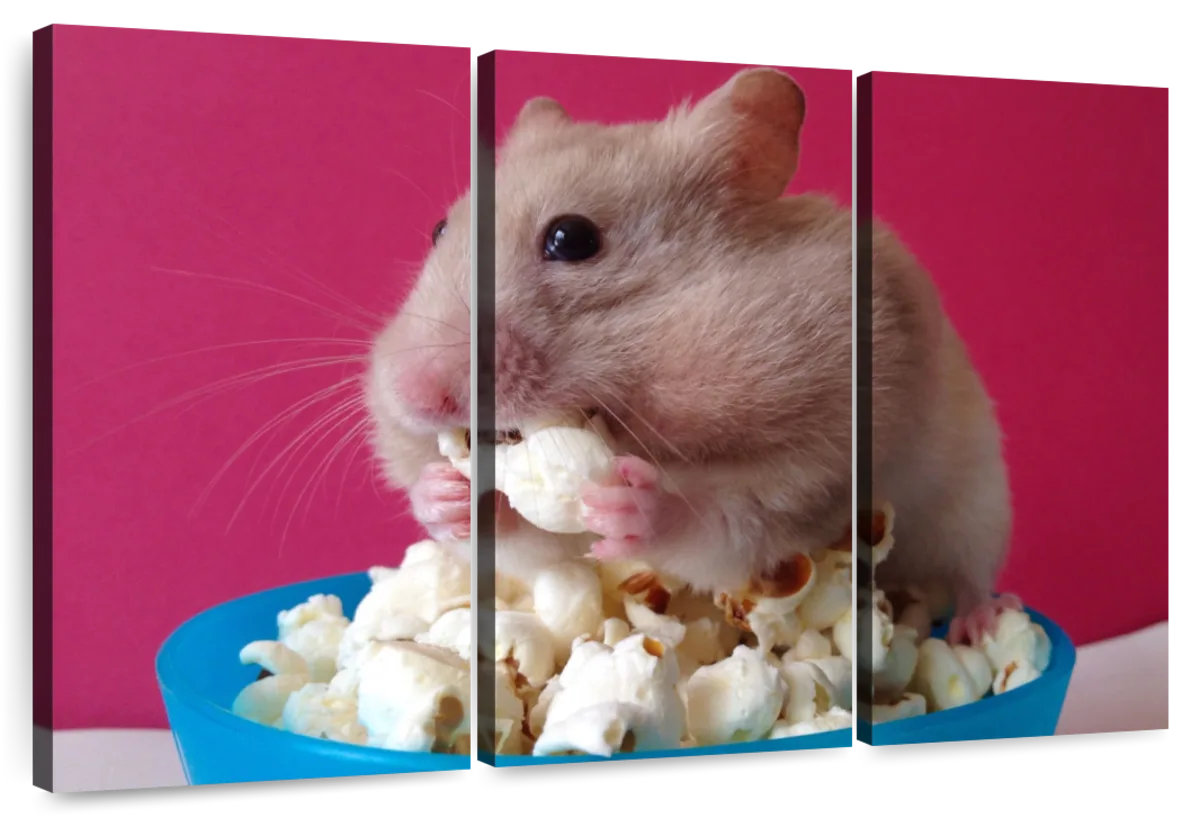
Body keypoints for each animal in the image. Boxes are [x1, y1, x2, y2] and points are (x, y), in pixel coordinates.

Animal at [368, 68, 854, 595]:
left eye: (571, 239)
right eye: (439, 230)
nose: (415, 395)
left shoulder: (815, 472)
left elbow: (725, 525)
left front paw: (634, 507)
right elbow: (527, 540)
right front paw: (444, 493)